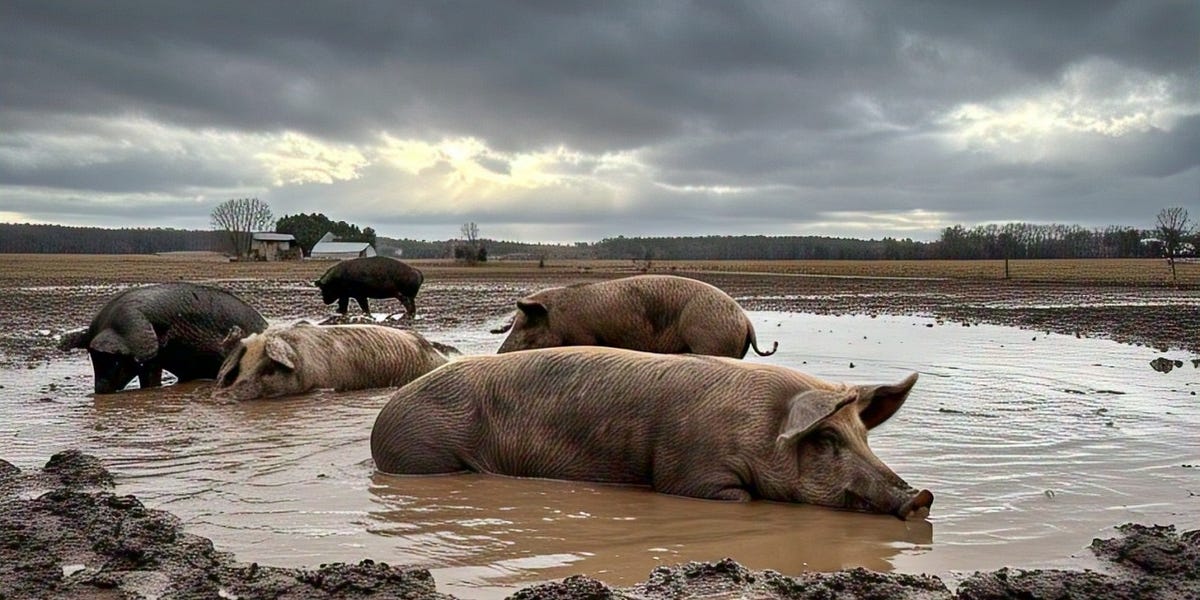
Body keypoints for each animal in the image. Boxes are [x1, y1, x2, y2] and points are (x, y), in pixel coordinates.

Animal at [370, 346, 933, 519]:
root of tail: (381, 423)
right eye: (829, 440)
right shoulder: (695, 476)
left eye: (865, 438)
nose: (921, 495)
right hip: (424, 454)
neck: (760, 424)